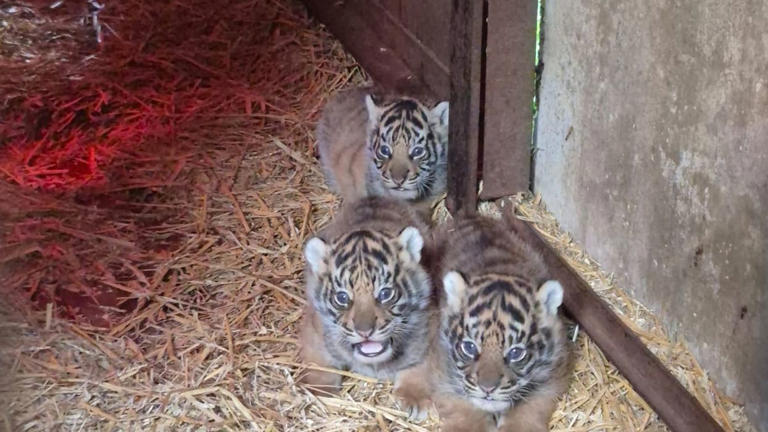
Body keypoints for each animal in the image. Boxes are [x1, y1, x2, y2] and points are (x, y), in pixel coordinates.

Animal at [298, 197, 438, 393]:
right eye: (342, 298)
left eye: (385, 293)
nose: (365, 332)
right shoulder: (315, 331)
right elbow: (319, 365)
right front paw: (318, 389)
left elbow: (419, 366)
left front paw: (412, 394)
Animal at [394, 215, 570, 431]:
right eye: (469, 347)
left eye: (516, 353)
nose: (487, 388)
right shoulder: (445, 370)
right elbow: (464, 406)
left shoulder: (554, 371)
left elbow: (531, 406)